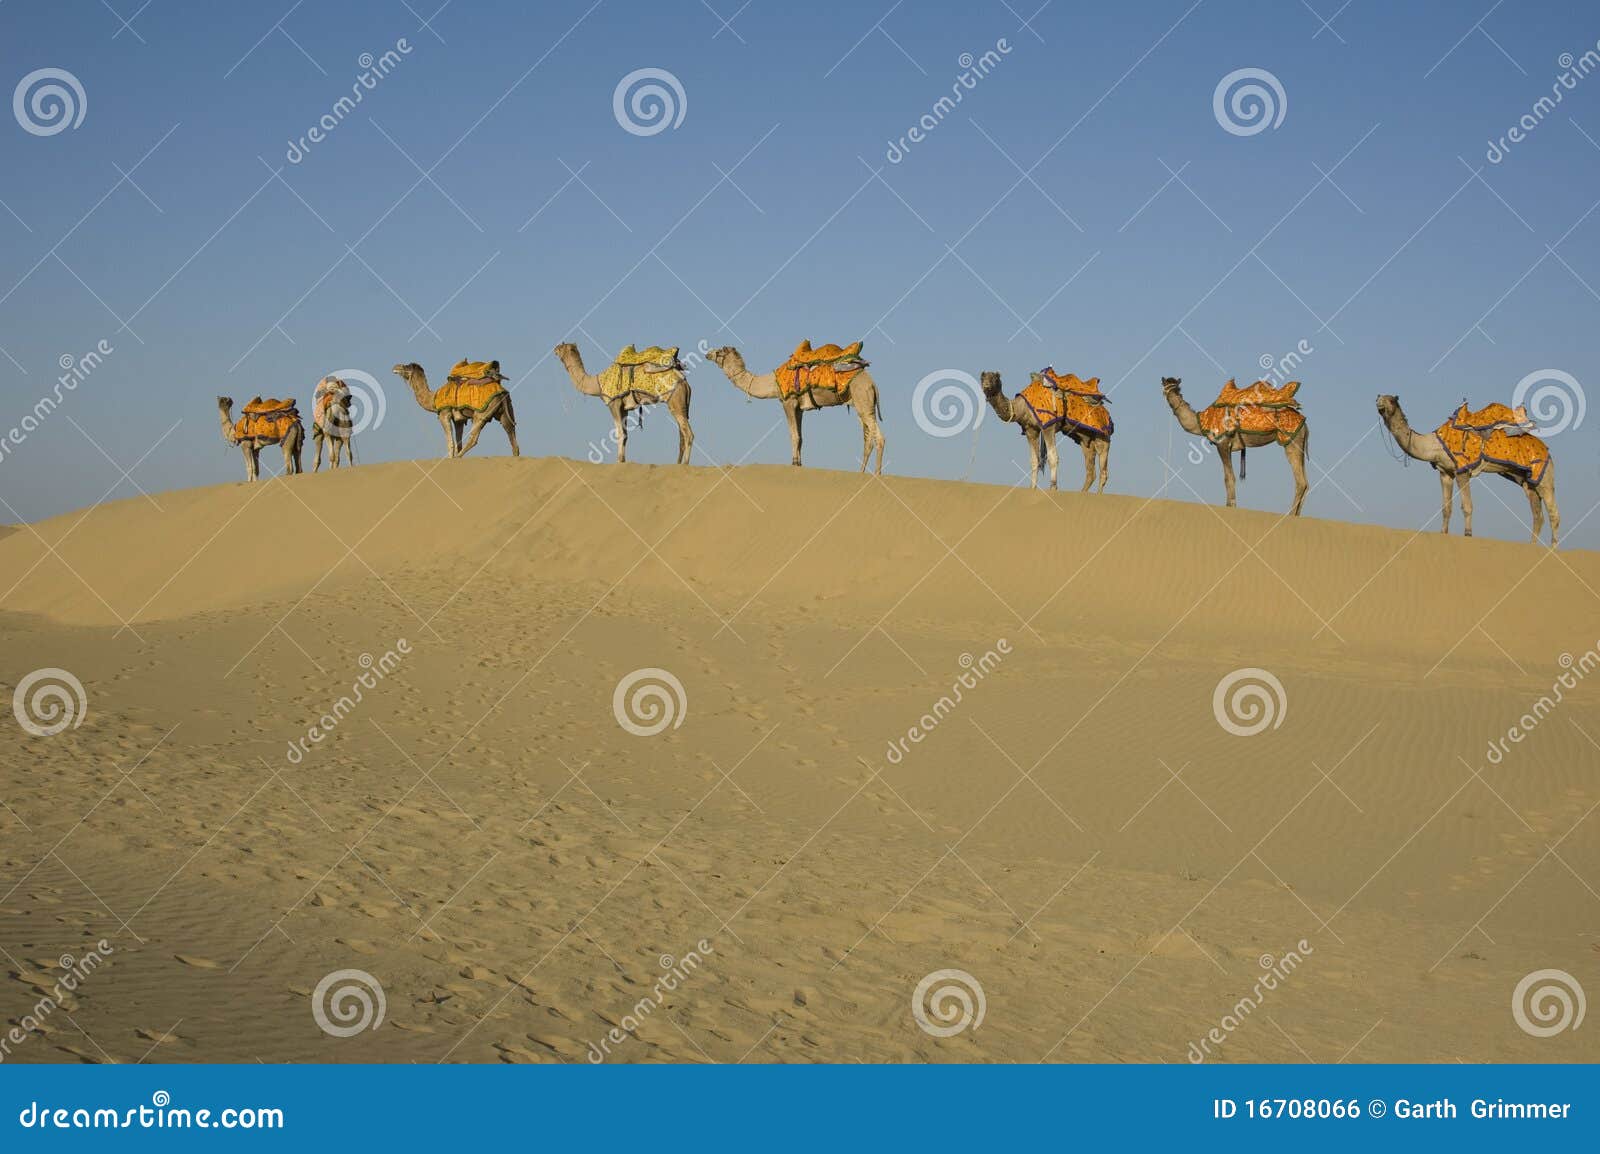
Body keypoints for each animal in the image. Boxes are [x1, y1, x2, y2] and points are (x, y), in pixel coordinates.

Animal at [553, 343, 693, 464]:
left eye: (561, 347)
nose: (554, 349)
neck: (597, 383)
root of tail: (684, 381)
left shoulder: (614, 403)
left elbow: (619, 433)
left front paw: (618, 461)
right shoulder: (624, 408)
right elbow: (625, 435)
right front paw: (623, 461)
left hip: (675, 400)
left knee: (688, 434)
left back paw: (685, 464)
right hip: (682, 404)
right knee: (682, 434)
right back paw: (678, 464)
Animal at [706, 346, 885, 474]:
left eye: (719, 351)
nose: (707, 354)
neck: (773, 382)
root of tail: (873, 384)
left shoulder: (788, 402)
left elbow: (793, 436)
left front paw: (793, 463)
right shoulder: (799, 408)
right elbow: (801, 437)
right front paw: (799, 463)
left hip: (862, 398)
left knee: (879, 437)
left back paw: (877, 474)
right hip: (861, 403)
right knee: (868, 438)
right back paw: (861, 473)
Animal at [980, 370, 1109, 491]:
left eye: (995, 378)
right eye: (982, 378)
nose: (986, 385)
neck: (1022, 407)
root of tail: (1104, 409)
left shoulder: (1048, 426)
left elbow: (1053, 457)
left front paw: (1053, 488)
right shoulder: (1031, 430)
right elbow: (1034, 461)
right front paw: (1032, 488)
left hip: (1102, 434)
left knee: (1103, 467)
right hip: (1084, 438)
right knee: (1090, 470)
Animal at [1162, 377, 1309, 516]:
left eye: (1177, 387)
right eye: (1167, 386)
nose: (1173, 395)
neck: (1202, 421)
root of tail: (1304, 423)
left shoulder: (1222, 443)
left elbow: (1228, 478)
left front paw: (1231, 506)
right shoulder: (1229, 447)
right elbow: (1229, 477)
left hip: (1291, 441)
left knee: (1300, 481)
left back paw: (1290, 514)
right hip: (1299, 442)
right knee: (1306, 482)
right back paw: (1297, 515)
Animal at [1376, 394, 1558, 545]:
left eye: (1391, 400)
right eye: (1379, 397)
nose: (1379, 402)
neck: (1434, 445)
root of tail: (1548, 451)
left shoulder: (1462, 470)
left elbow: (1467, 506)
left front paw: (1468, 534)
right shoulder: (1445, 472)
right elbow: (1446, 508)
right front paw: (1443, 533)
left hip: (1544, 474)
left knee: (1553, 513)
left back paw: (1553, 548)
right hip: (1527, 480)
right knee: (1537, 514)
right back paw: (1532, 546)